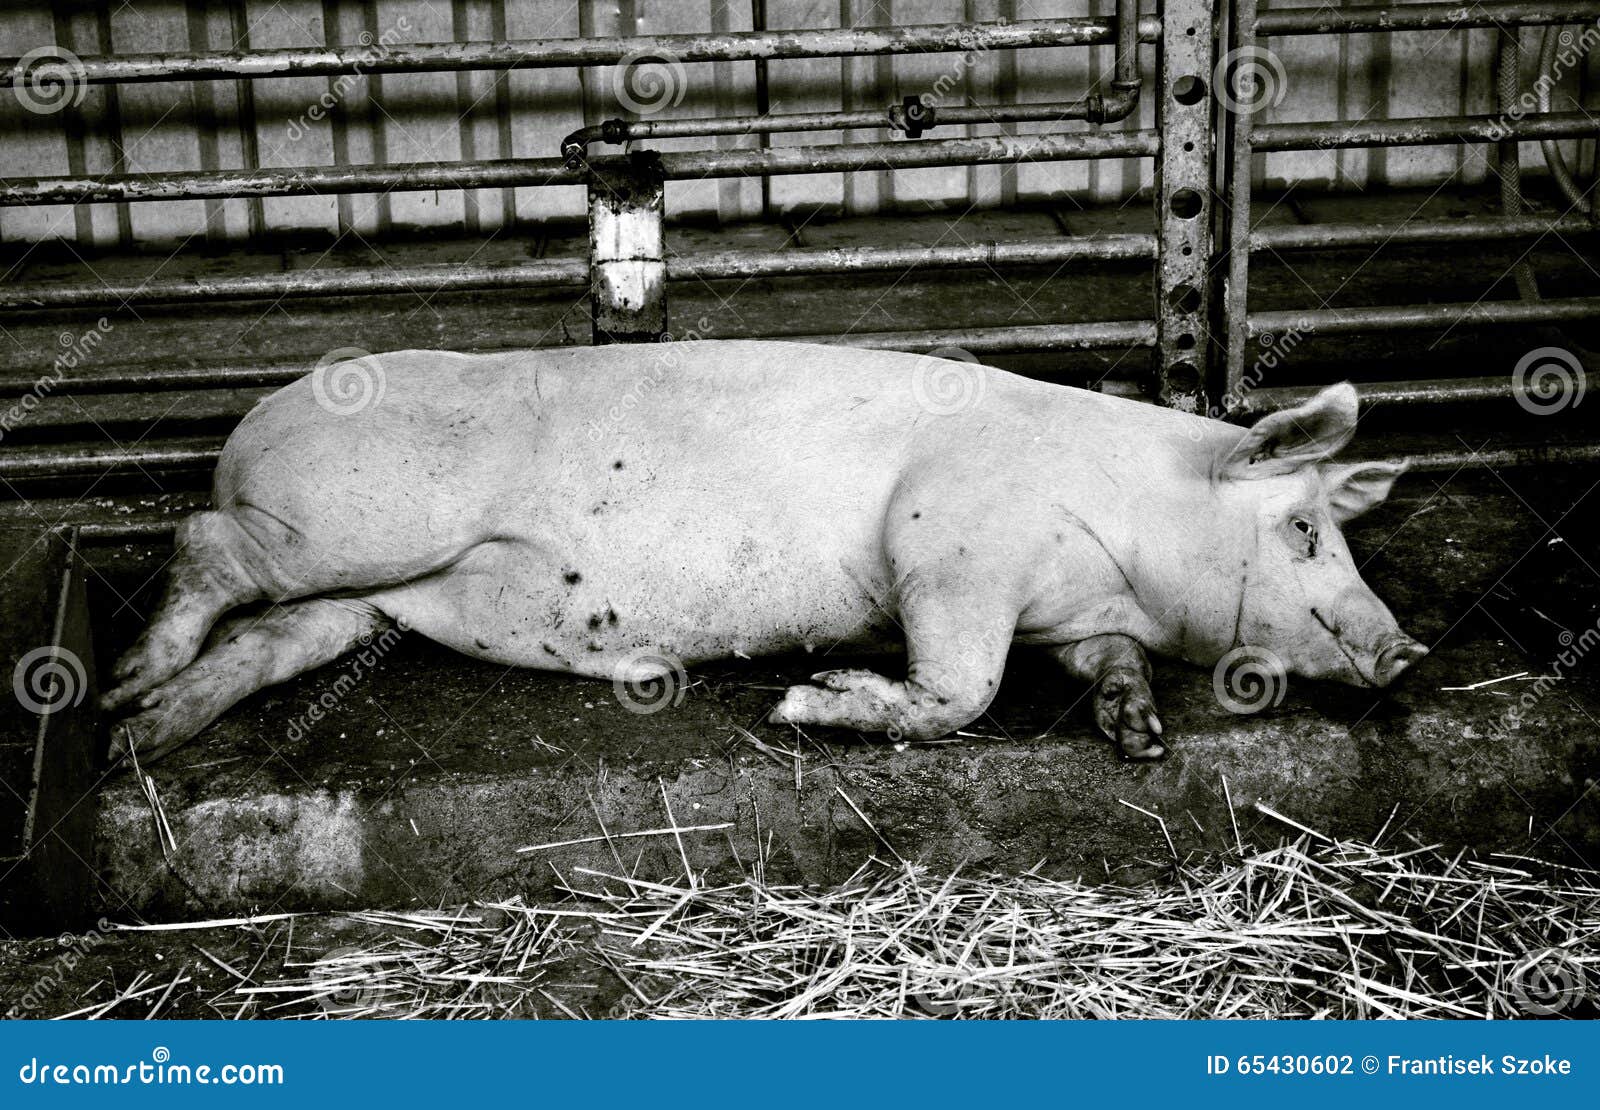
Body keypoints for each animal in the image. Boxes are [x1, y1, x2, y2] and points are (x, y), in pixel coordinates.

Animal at [102, 340, 1425, 764]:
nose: (1405, 651)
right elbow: (961, 686)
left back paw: (140, 738)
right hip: (350, 522)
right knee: (205, 539)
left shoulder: (1075, 614)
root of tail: (256, 418)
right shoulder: (945, 540)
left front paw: (1139, 734)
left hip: (374, 593)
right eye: (1303, 528)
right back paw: (121, 686)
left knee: (277, 636)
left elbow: (1102, 662)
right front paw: (806, 700)